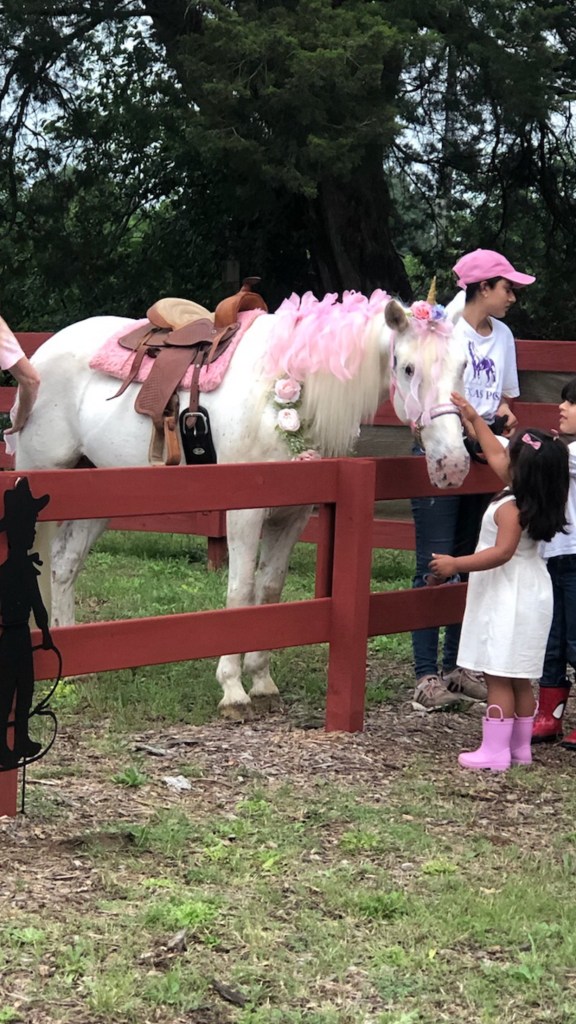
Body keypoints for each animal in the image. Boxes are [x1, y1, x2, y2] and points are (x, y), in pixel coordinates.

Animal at [12, 289, 470, 719]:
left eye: (463, 366)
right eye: (407, 368)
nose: (454, 463)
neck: (286, 389)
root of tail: (42, 351)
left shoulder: (293, 514)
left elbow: (268, 590)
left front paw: (262, 682)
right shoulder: (244, 513)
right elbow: (240, 591)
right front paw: (233, 689)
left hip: (99, 496)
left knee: (64, 565)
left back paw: (74, 668)